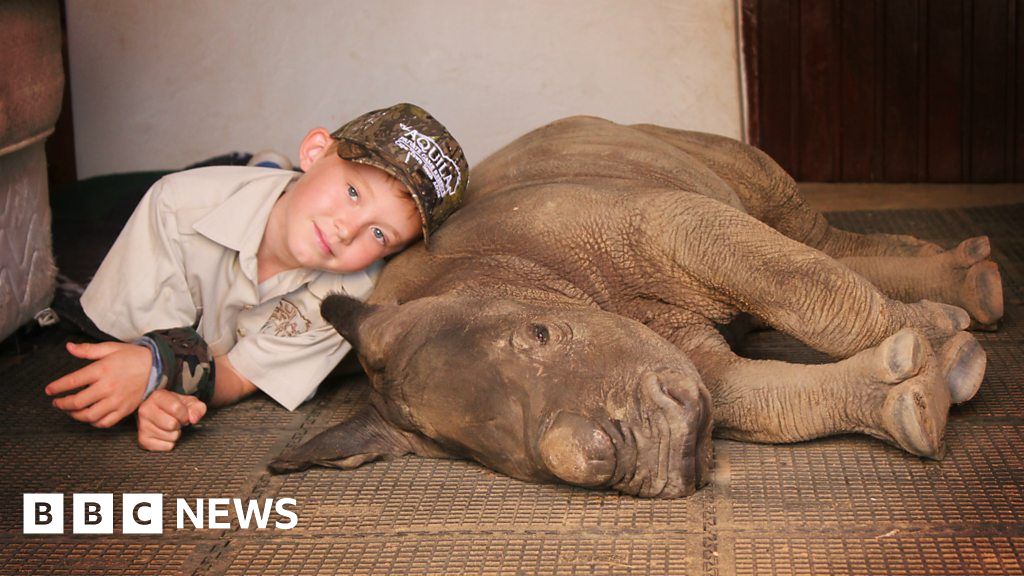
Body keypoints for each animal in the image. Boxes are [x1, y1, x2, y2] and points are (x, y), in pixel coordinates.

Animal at [269, 116, 1003, 498]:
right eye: (509, 462)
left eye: (543, 333)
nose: (619, 451)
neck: (492, 276)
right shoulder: (681, 360)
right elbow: (751, 396)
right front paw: (916, 403)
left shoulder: (657, 223)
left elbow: (800, 287)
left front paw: (947, 358)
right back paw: (965, 299)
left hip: (655, 143)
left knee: (788, 222)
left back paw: (968, 301)